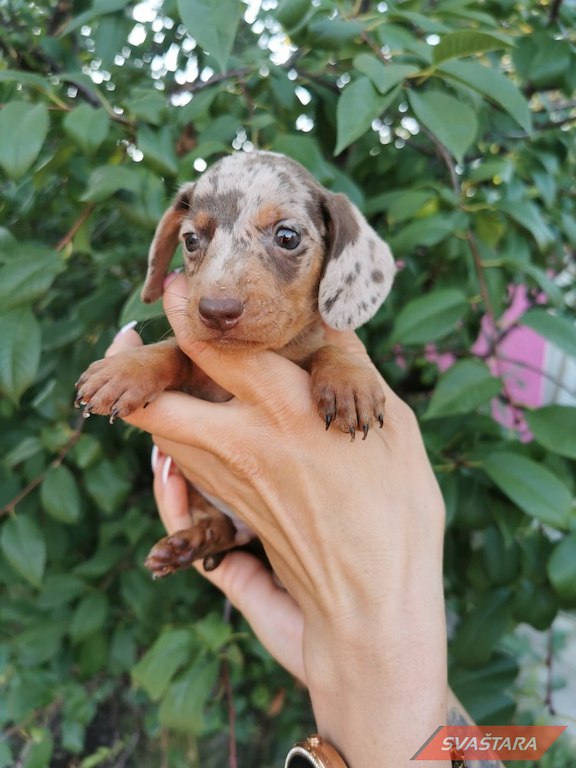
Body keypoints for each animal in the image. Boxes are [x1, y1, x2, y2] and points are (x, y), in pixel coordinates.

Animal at [75, 152, 396, 576]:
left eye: (287, 236)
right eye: (191, 240)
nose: (216, 311)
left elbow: (326, 349)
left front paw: (349, 383)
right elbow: (174, 352)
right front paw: (125, 370)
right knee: (221, 526)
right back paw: (192, 542)